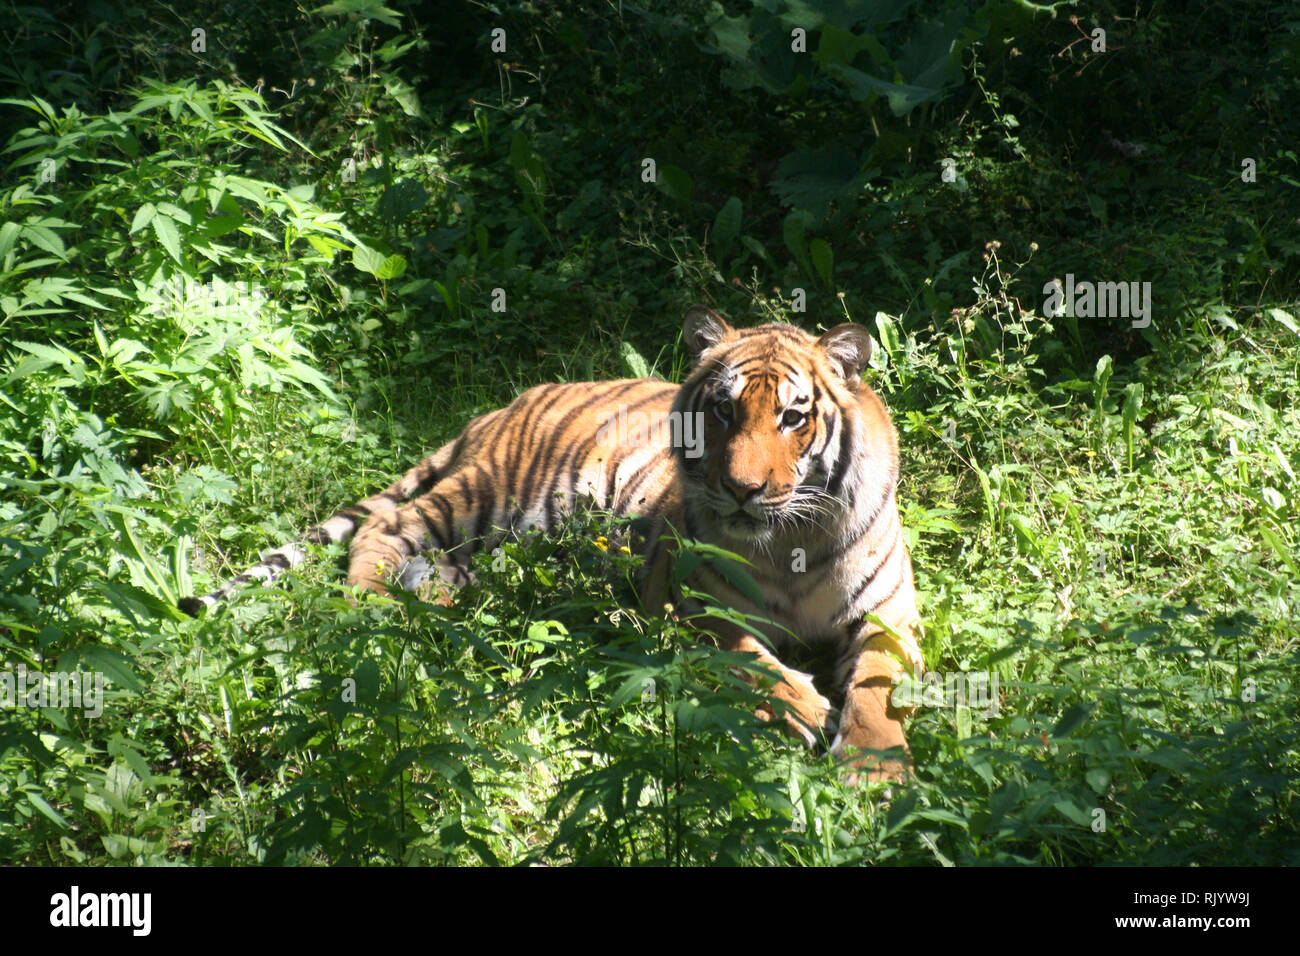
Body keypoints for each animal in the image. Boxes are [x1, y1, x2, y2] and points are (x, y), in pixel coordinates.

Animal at [180, 305, 925, 783]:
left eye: (793, 418)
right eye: (722, 409)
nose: (741, 489)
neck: (789, 538)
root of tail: (501, 407)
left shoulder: (890, 615)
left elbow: (879, 688)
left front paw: (874, 769)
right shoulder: (685, 601)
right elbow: (745, 655)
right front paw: (804, 707)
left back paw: (442, 613)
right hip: (485, 495)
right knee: (383, 529)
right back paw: (372, 614)